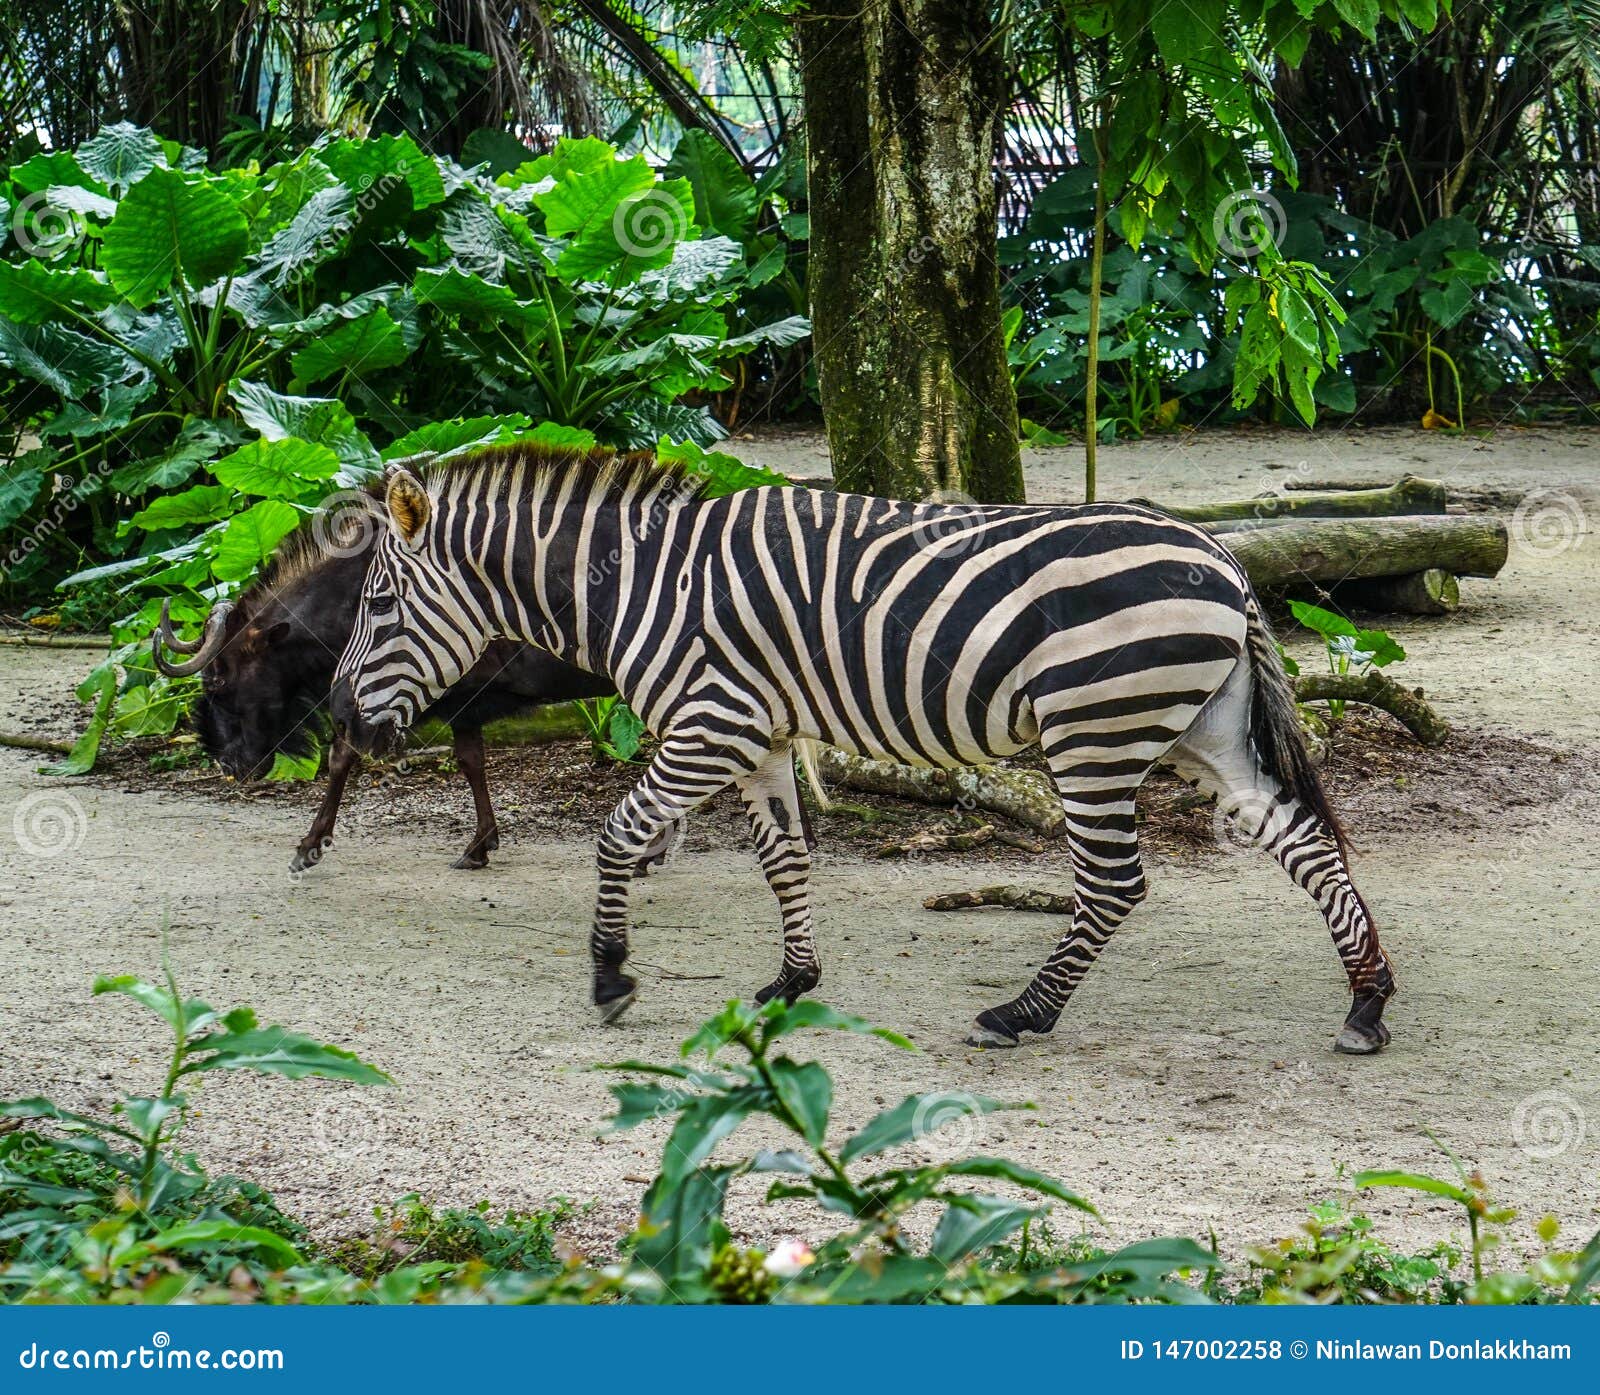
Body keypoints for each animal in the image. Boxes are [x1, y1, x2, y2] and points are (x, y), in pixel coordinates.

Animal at [332, 446, 1396, 1054]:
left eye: (377, 604)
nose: (339, 719)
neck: (637, 582)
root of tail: (1224, 557)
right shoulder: (758, 733)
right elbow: (785, 857)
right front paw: (792, 982)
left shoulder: (710, 722)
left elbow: (619, 834)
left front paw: (610, 976)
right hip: (1199, 728)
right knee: (1303, 840)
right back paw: (1367, 1001)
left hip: (1094, 732)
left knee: (1113, 885)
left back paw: (1022, 1014)